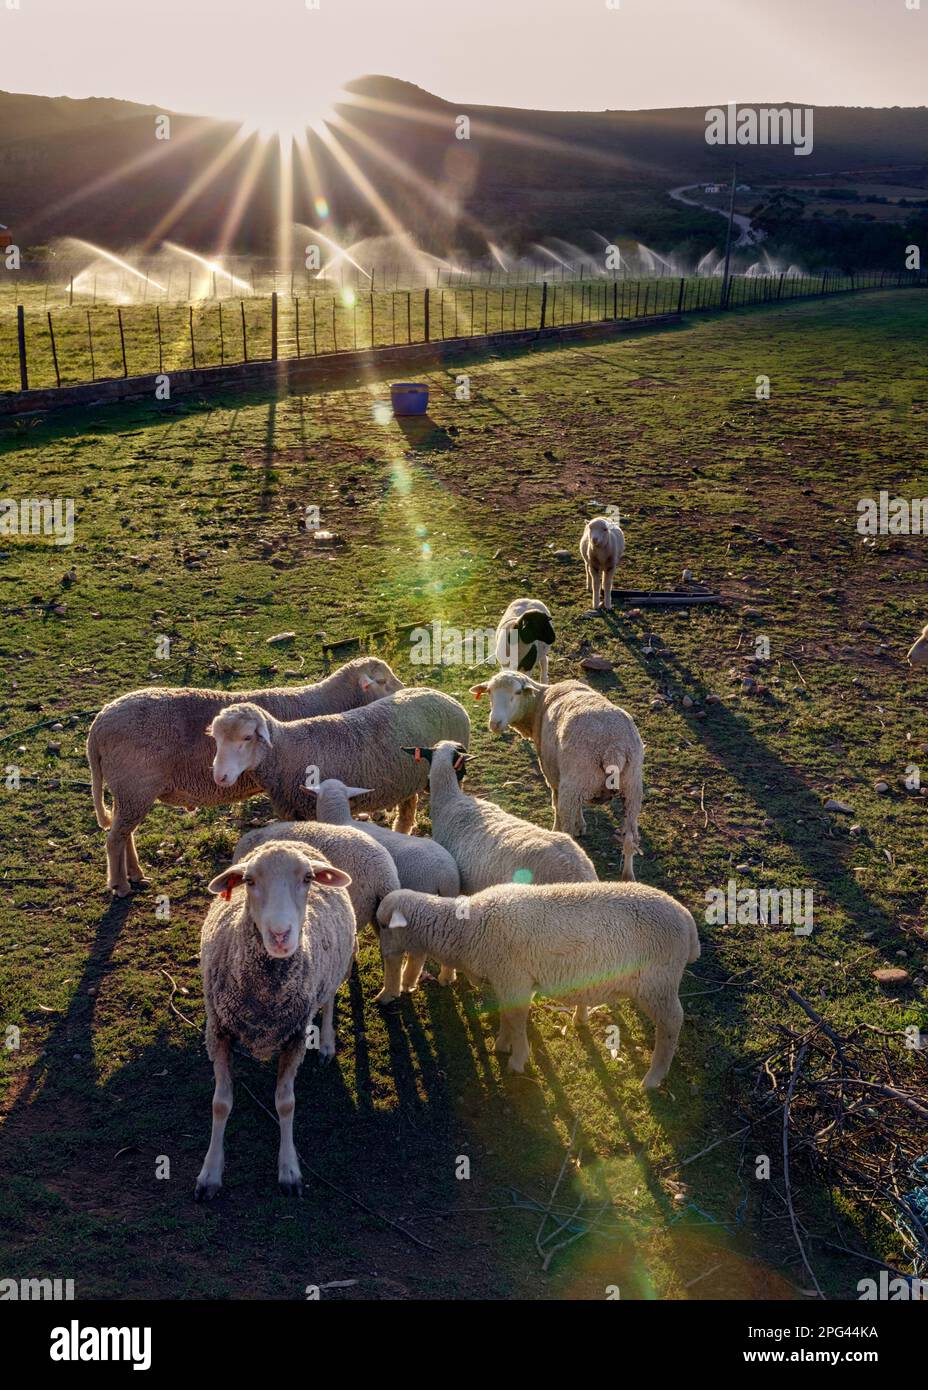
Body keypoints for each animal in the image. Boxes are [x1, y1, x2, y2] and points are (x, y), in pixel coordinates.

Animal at [87, 656, 403, 898]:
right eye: (382, 681)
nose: (404, 691)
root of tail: (99, 723)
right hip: (134, 786)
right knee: (115, 838)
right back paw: (121, 885)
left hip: (129, 790)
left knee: (124, 832)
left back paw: (136, 874)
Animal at [196, 840, 356, 1200]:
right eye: (249, 881)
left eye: (307, 878)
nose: (281, 934)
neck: (265, 998)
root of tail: (293, 839)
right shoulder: (218, 1029)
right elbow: (219, 1104)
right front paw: (210, 1171)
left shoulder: (295, 1036)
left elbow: (285, 1104)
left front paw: (289, 1169)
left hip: (334, 970)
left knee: (328, 1000)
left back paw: (327, 1043)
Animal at [208, 687, 470, 833]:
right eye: (217, 738)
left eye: (247, 737)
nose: (220, 777)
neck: (285, 751)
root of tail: (445, 697)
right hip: (406, 776)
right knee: (408, 805)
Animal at [378, 881, 699, 1086]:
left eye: (383, 925)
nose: (384, 954)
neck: (466, 929)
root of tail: (686, 920)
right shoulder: (506, 980)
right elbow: (507, 1016)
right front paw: (502, 1044)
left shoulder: (515, 979)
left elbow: (518, 1021)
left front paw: (517, 1060)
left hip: (658, 982)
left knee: (672, 1022)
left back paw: (653, 1077)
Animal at [470, 671, 644, 881]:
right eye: (489, 692)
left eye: (518, 692)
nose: (495, 723)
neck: (539, 703)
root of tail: (614, 748)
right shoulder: (575, 782)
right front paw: (581, 825)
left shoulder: (553, 771)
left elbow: (555, 801)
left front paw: (560, 827)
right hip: (631, 787)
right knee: (630, 838)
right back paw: (628, 876)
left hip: (578, 776)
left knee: (565, 816)